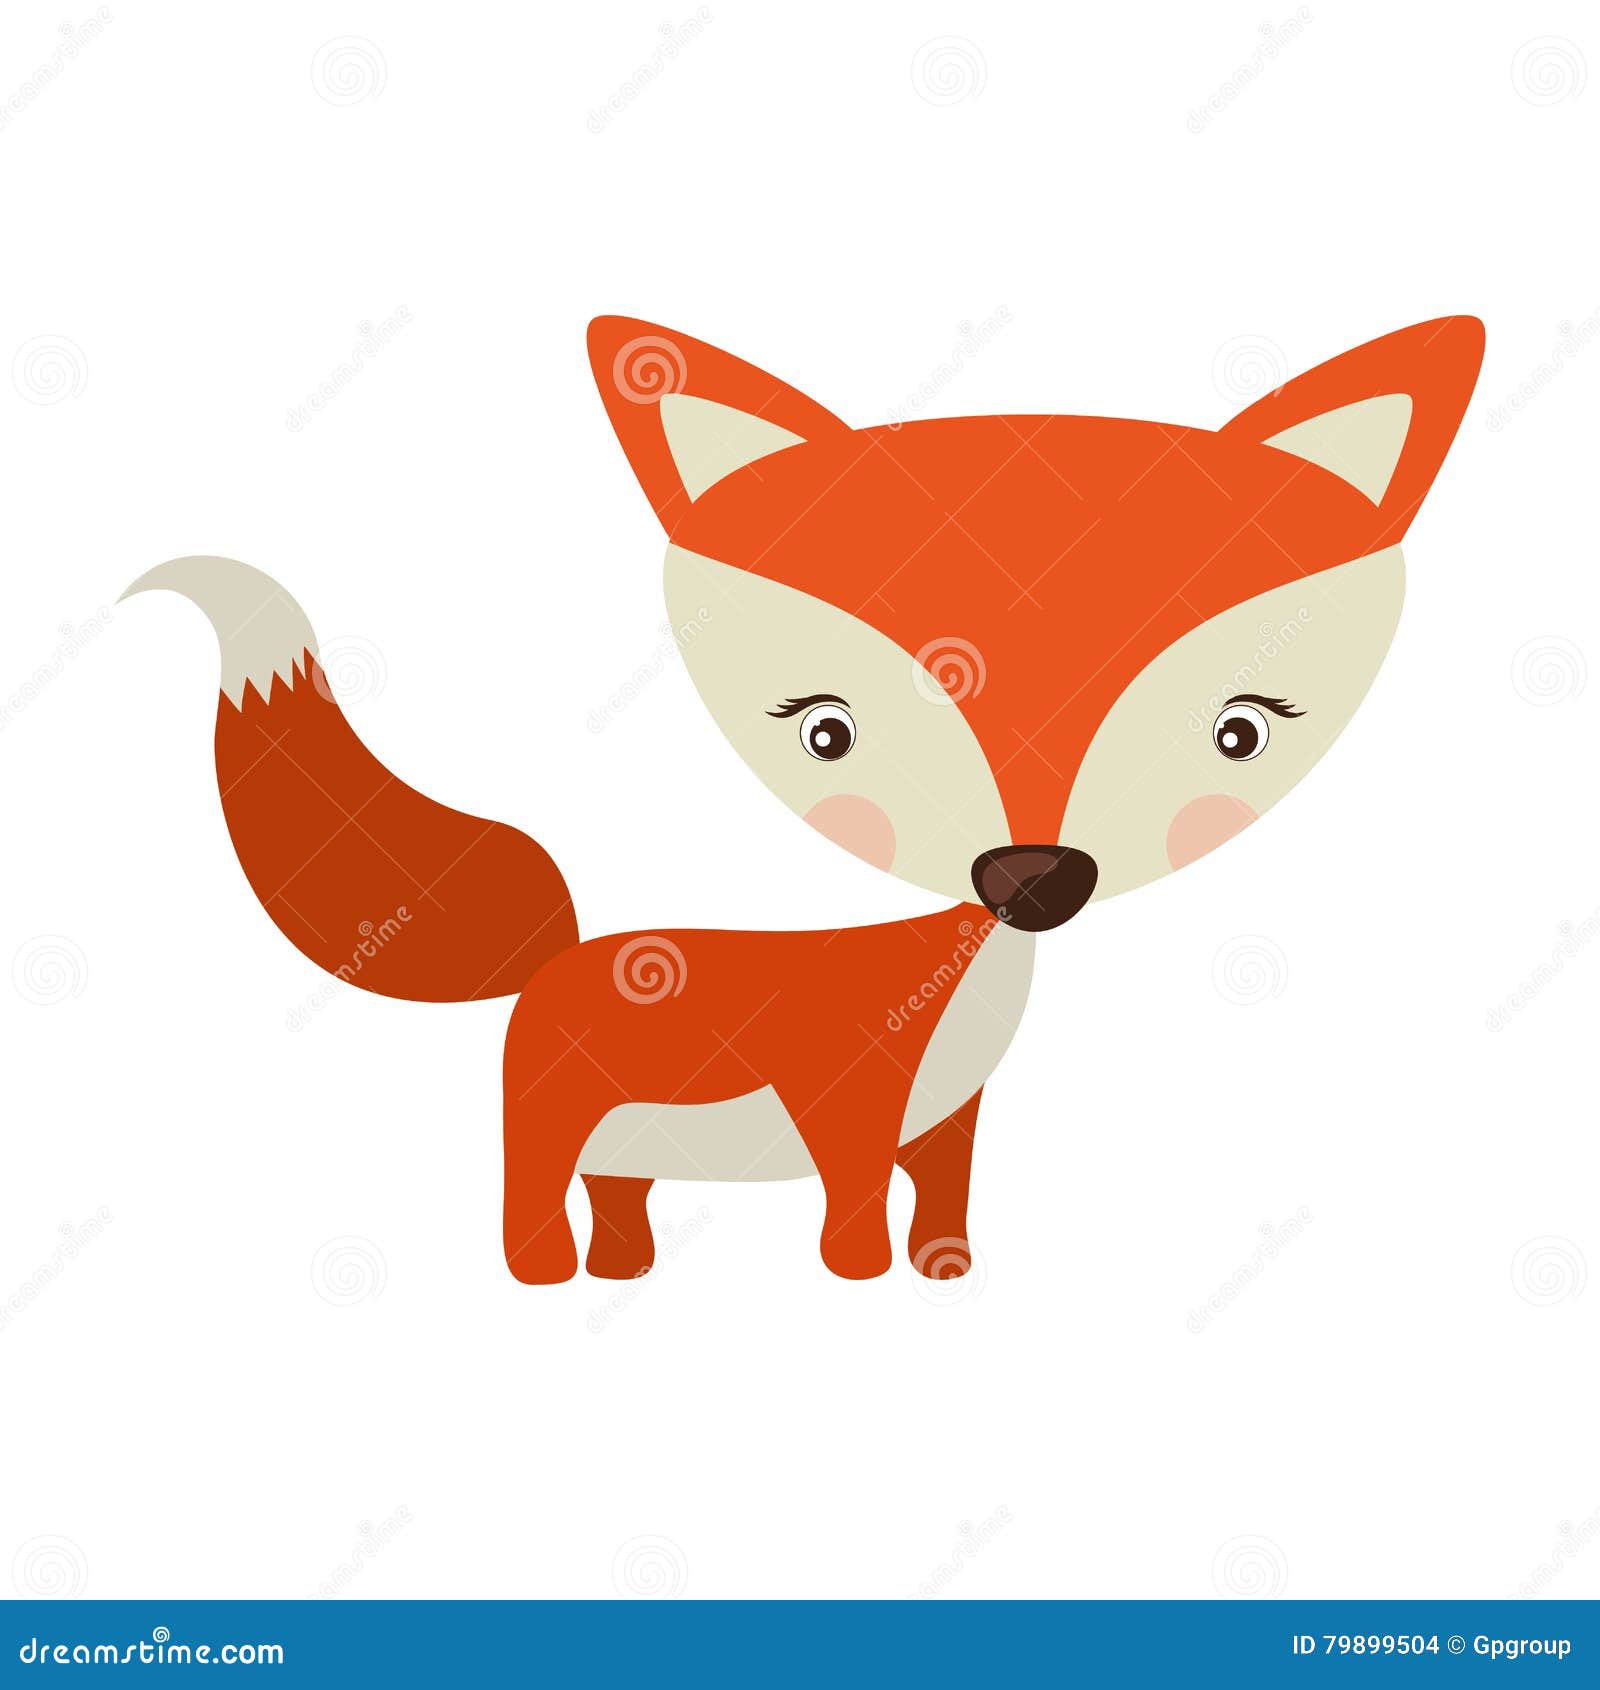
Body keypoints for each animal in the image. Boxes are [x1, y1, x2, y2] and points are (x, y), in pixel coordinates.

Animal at [124, 312, 1483, 1284]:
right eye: (829, 734)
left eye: (1235, 734)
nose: (1031, 876)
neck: (956, 983)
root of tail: (560, 951)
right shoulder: (849, 1104)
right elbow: (854, 1200)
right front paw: (859, 1274)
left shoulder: (947, 1118)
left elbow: (946, 1194)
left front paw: (946, 1272)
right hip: (555, 1119)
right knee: (526, 1193)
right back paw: (545, 1276)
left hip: (631, 1141)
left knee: (618, 1196)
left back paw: (625, 1272)